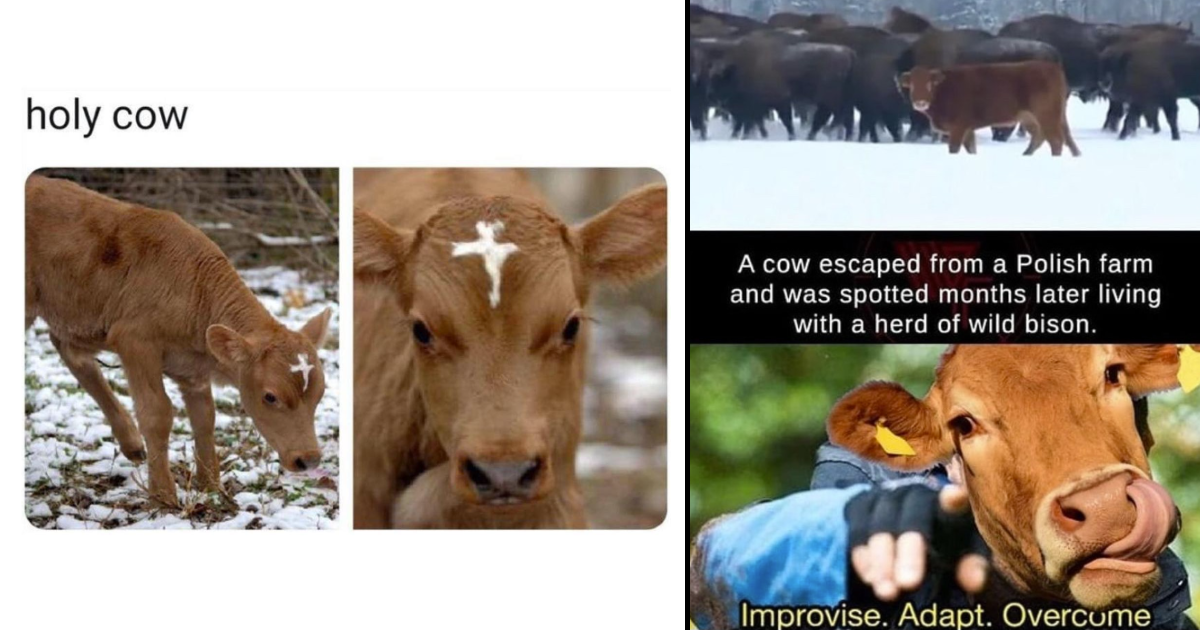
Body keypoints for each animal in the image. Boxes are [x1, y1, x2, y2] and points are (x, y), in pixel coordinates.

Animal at [25, 175, 332, 508]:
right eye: (270, 397)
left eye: (320, 393)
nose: (309, 460)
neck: (194, 290)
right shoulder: (135, 341)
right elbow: (157, 414)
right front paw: (163, 495)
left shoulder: (192, 368)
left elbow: (205, 417)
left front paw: (212, 486)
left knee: (70, 351)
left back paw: (131, 443)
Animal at [899, 61, 1081, 156]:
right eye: (912, 85)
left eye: (929, 84)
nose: (920, 102)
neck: (944, 88)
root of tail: (1051, 66)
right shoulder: (968, 129)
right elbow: (971, 148)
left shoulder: (958, 127)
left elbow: (954, 148)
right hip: (1030, 118)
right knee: (1040, 137)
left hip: (1046, 115)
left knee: (1055, 140)